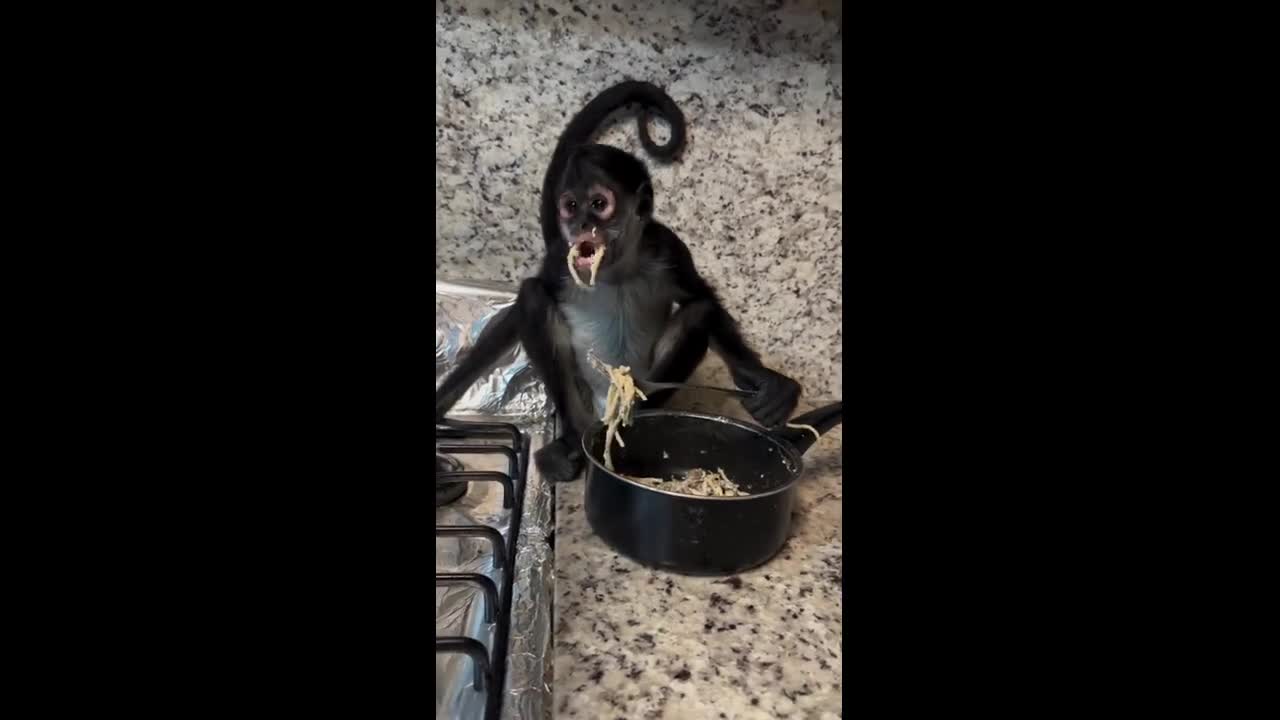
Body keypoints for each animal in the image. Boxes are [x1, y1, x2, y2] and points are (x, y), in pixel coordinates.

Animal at [436, 81, 802, 483]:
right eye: (570, 206)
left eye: (598, 204)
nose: (581, 224)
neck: (616, 271)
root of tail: (601, 413)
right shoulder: (558, 261)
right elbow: (520, 310)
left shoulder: (668, 247)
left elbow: (701, 296)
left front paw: (765, 382)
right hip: (579, 403)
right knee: (532, 296)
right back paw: (569, 444)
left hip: (643, 387)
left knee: (699, 311)